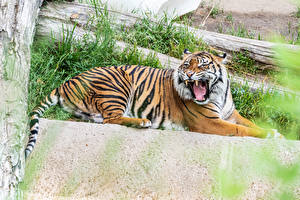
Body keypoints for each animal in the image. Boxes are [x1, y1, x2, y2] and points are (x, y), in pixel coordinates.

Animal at [24, 49, 282, 158]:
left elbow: (250, 123)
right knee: (110, 119)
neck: (216, 94)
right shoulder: (210, 122)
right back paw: (141, 122)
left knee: (100, 119)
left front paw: (275, 132)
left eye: (202, 64)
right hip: (118, 84)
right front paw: (270, 135)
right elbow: (241, 130)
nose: (188, 75)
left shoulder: (230, 113)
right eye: (186, 65)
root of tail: (66, 82)